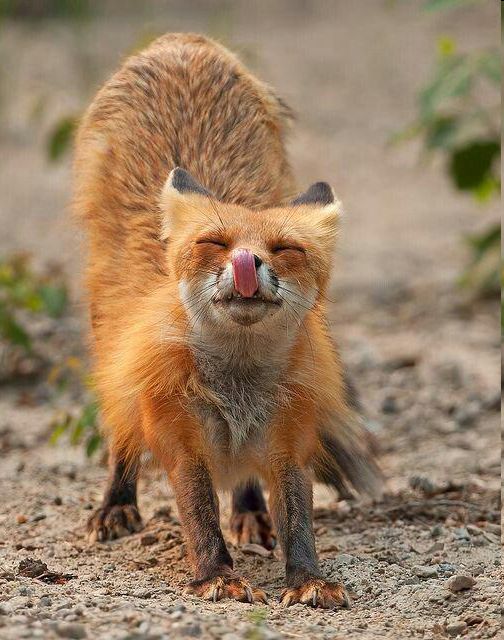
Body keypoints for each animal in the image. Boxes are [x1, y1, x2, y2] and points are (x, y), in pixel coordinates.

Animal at [73, 33, 380, 609]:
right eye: (213, 243)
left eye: (286, 249)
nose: (246, 261)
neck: (238, 385)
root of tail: (179, 41)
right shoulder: (177, 429)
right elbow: (197, 511)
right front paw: (216, 574)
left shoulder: (289, 433)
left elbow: (297, 516)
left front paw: (307, 577)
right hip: (106, 331)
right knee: (118, 417)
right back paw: (117, 502)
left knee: (244, 479)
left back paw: (249, 512)